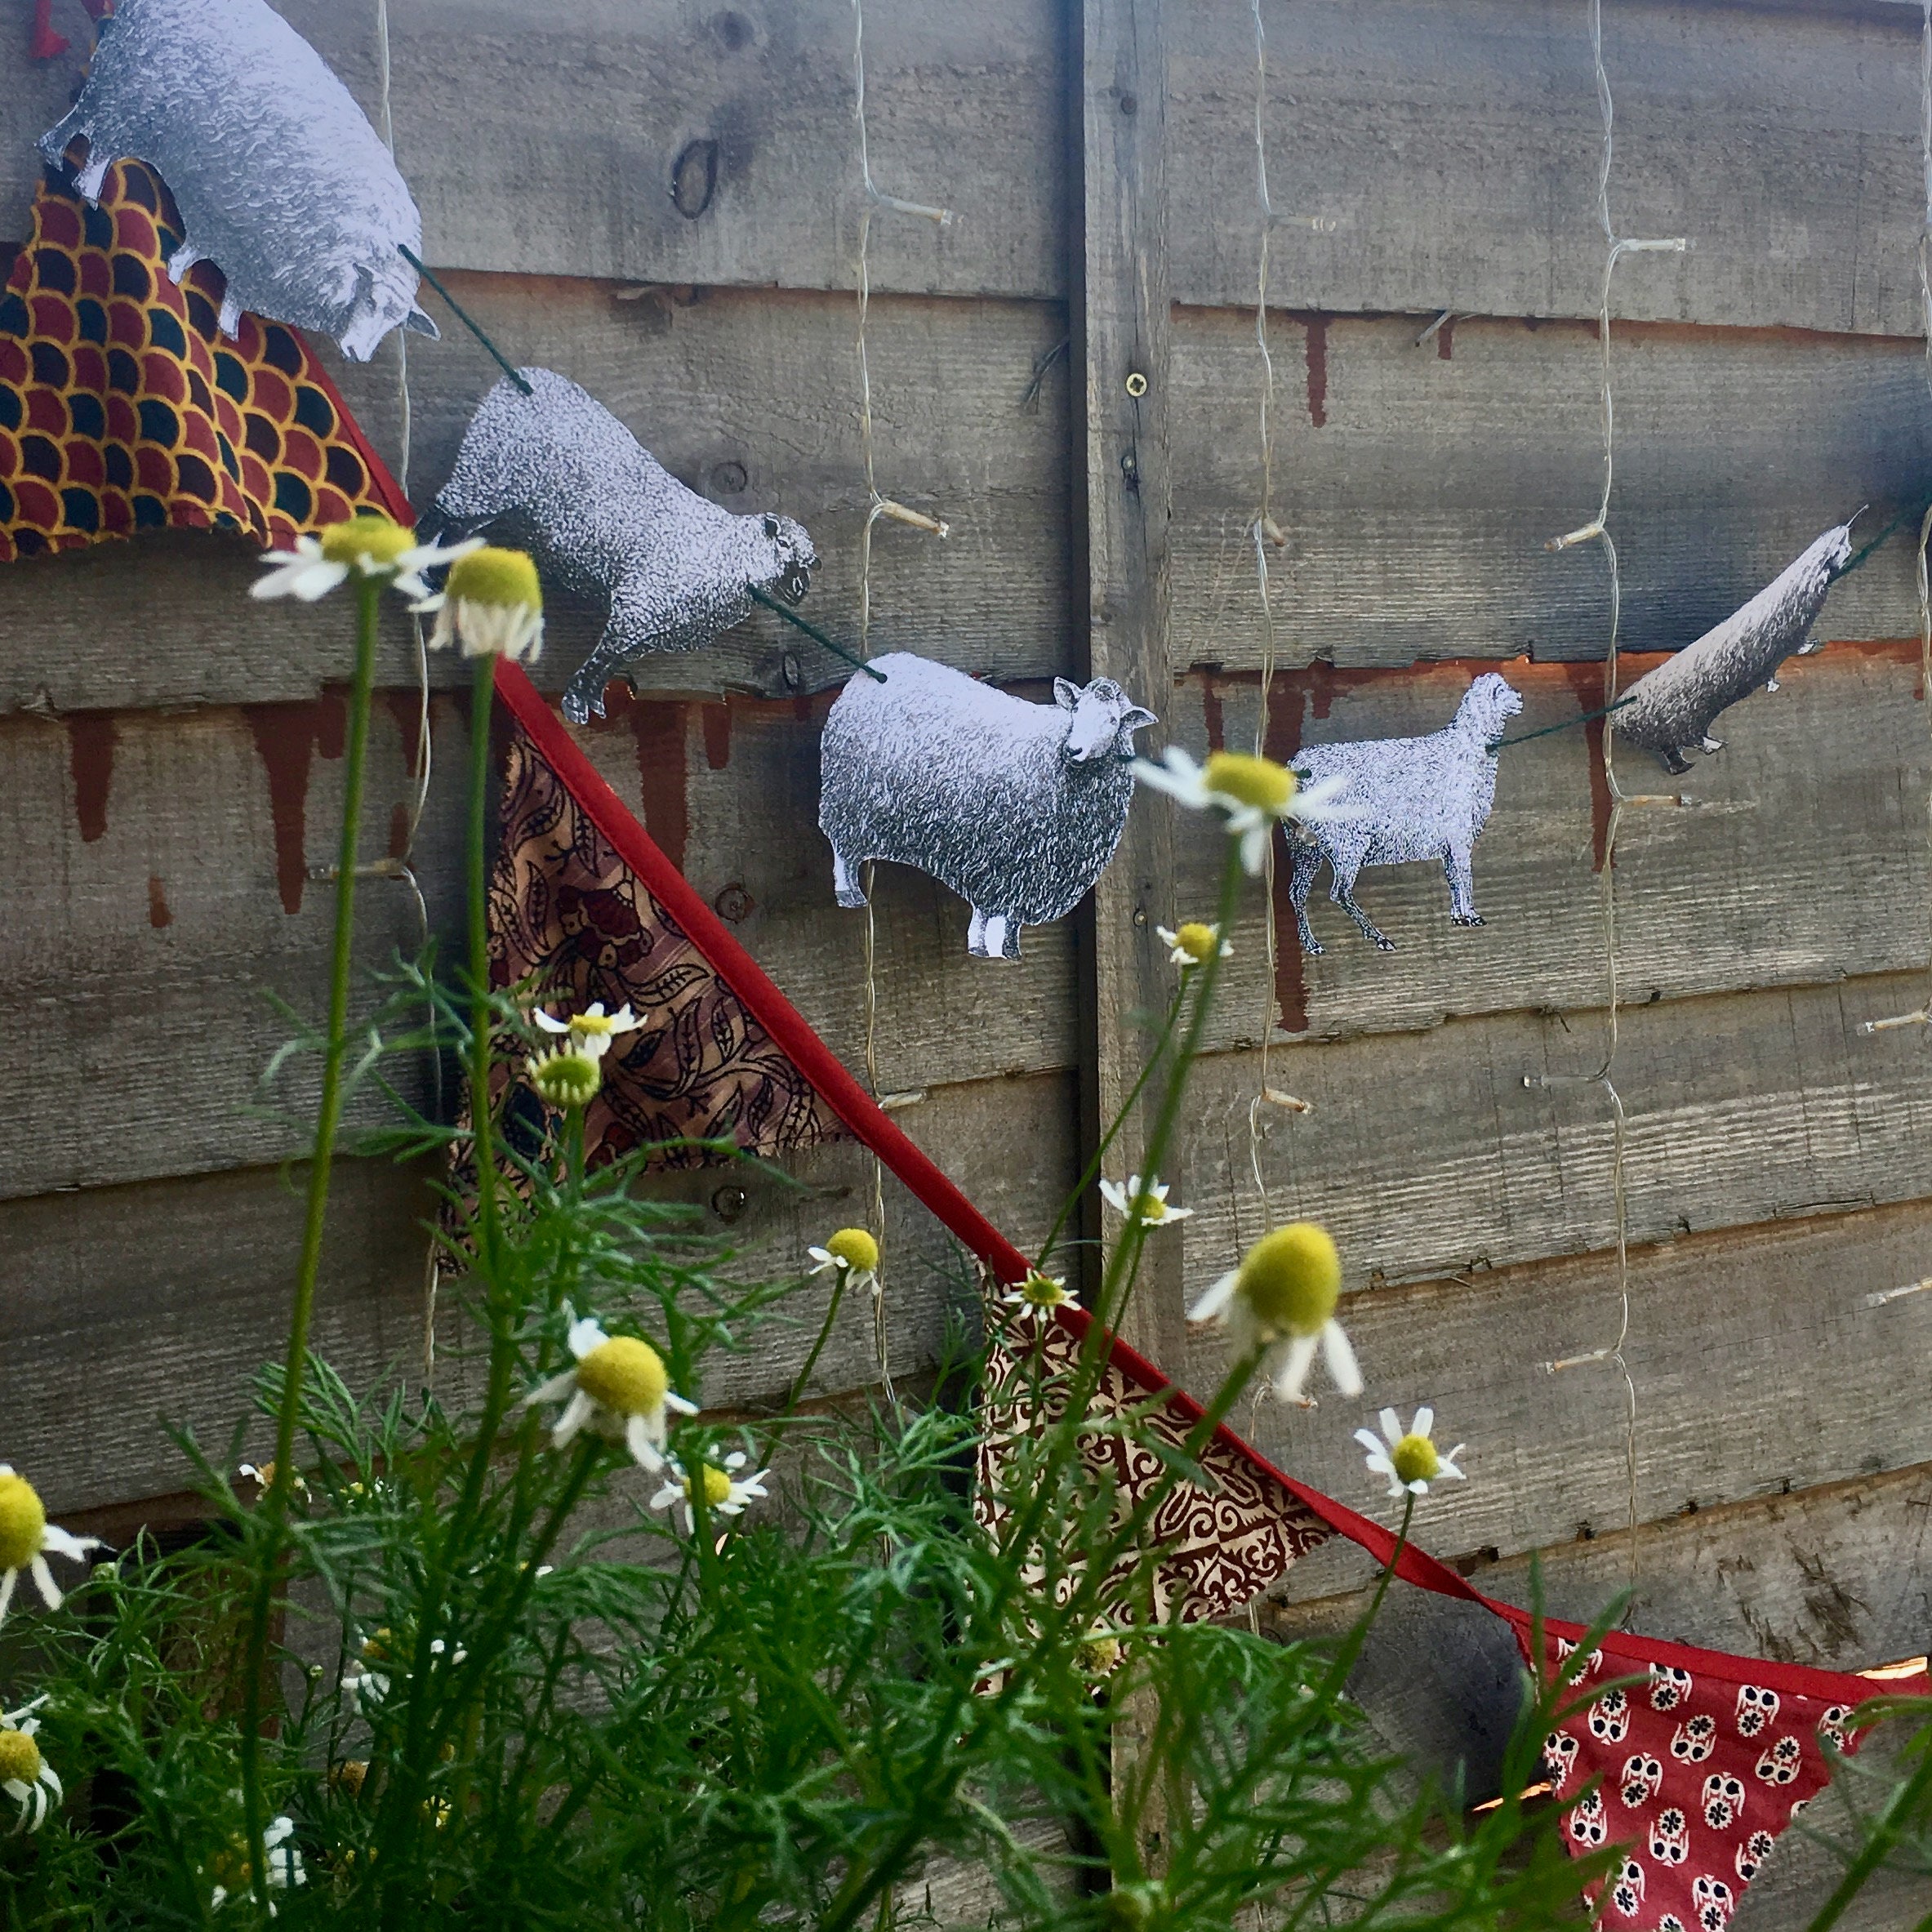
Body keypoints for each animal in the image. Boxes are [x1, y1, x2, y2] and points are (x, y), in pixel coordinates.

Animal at [38, 0, 436, 360]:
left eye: (397, 324)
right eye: (370, 299)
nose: (357, 354)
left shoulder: (238, 235)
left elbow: (223, 279)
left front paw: (218, 320)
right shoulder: (249, 235)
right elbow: (214, 272)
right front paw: (189, 290)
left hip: (112, 83)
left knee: (78, 121)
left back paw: (52, 152)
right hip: (132, 97)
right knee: (100, 150)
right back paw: (88, 192)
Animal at [429, 369, 818, 726]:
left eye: (810, 562)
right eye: (783, 544)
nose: (801, 590)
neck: (729, 555)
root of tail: (527, 376)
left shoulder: (650, 628)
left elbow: (614, 662)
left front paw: (592, 703)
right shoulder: (637, 607)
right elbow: (605, 657)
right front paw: (576, 705)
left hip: (493, 494)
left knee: (456, 528)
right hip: (483, 477)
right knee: (441, 517)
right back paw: (426, 574)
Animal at [819, 654, 1157, 959]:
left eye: (1113, 720)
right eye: (1075, 710)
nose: (1073, 750)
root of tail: (877, 666)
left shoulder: (1030, 869)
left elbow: (1010, 921)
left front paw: (1009, 952)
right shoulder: (998, 857)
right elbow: (990, 916)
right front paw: (985, 948)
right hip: (848, 800)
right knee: (843, 855)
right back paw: (849, 894)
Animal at [1287, 672, 1523, 953]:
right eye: (1500, 690)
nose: (1521, 698)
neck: (1465, 749)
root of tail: (1295, 768)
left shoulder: (1449, 843)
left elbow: (1453, 877)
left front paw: (1458, 917)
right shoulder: (1460, 835)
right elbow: (1465, 876)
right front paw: (1472, 916)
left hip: (1305, 847)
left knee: (1297, 892)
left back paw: (1311, 944)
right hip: (1347, 842)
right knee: (1339, 893)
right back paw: (1378, 937)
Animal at [1613, 520, 1854, 774]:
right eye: (1837, 546)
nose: (1843, 529)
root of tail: (1618, 719)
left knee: (1674, 752)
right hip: (1679, 722)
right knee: (1687, 743)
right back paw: (1712, 747)